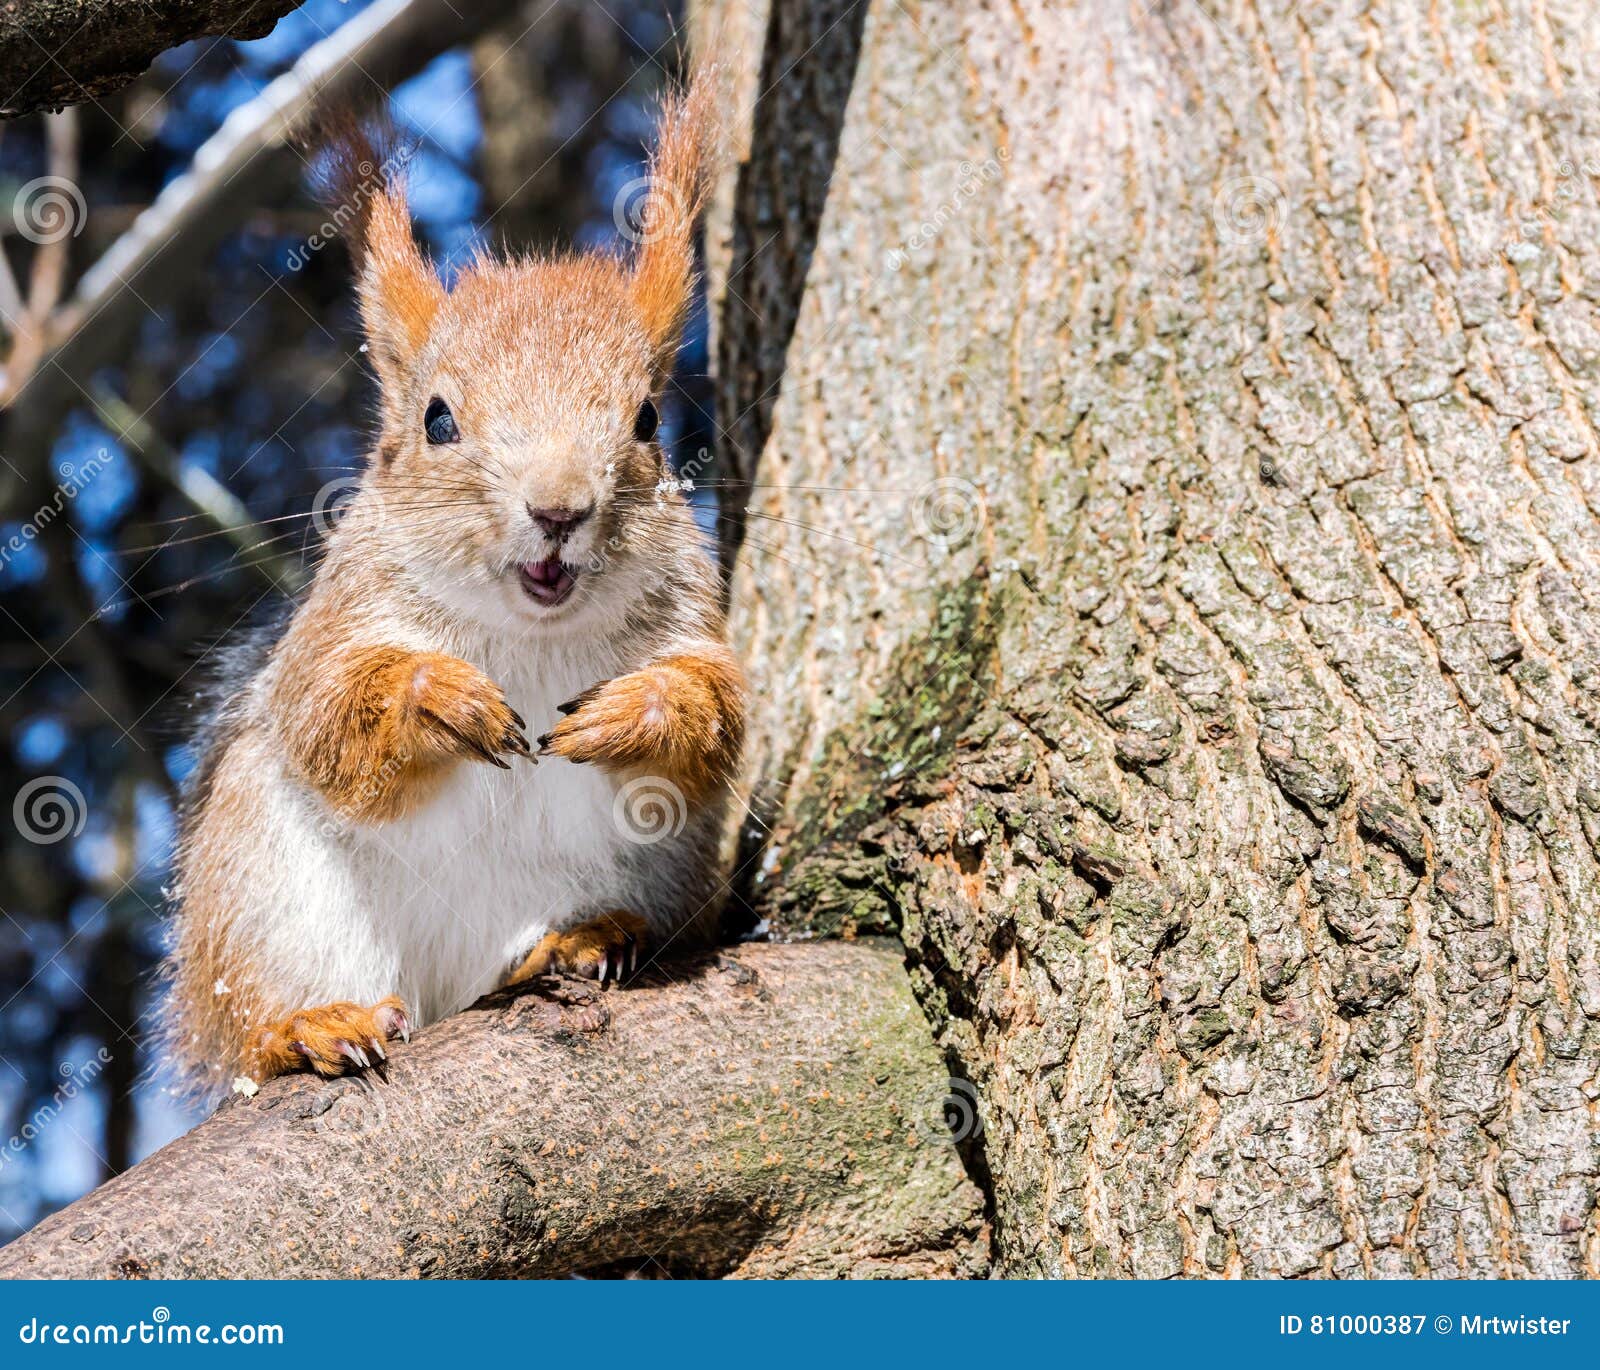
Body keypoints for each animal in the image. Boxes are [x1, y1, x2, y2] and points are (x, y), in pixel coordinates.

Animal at [161, 63, 744, 1096]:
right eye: (437, 420)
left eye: (646, 420)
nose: (559, 508)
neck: (527, 631)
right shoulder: (336, 626)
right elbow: (328, 719)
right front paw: (438, 699)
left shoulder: (696, 621)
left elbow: (716, 714)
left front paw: (635, 712)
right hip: (263, 900)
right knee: (258, 1022)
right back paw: (307, 1027)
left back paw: (580, 937)